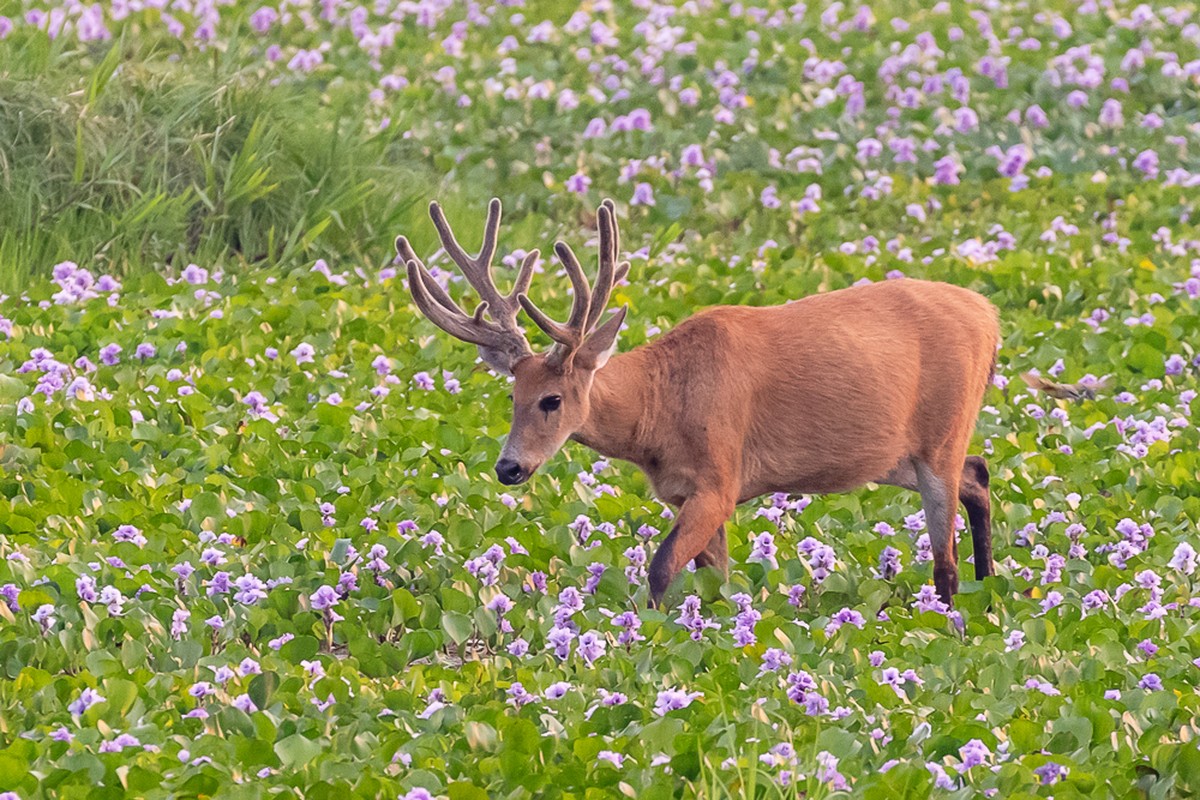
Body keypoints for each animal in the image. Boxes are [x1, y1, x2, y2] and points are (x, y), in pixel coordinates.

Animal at [396, 198, 1000, 608]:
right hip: (898, 456)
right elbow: (719, 579)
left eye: (551, 399)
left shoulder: (720, 479)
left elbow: (663, 566)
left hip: (942, 431)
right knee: (978, 474)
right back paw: (989, 586)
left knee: (944, 553)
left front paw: (650, 634)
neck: (660, 406)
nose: (509, 467)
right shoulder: (683, 491)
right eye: (511, 395)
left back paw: (955, 613)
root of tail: (990, 316)